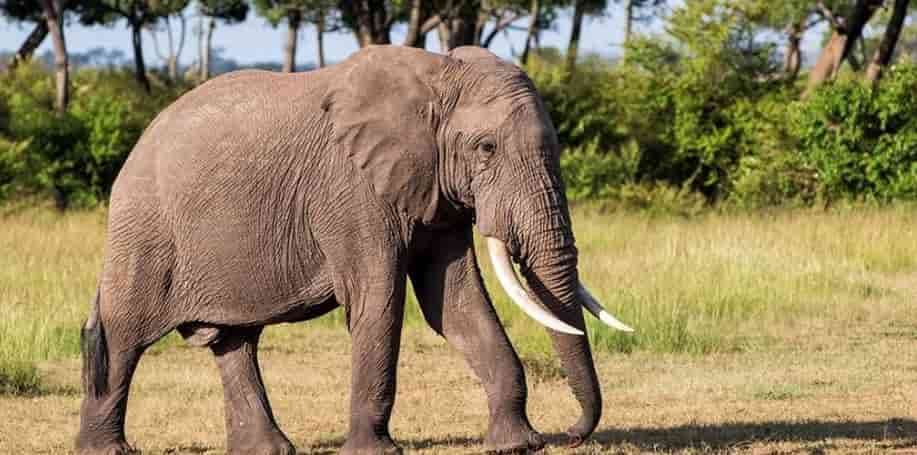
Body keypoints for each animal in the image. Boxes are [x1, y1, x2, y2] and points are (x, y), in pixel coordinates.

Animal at [75, 45, 632, 455]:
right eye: (486, 148)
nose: (570, 435)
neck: (436, 74)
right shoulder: (351, 189)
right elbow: (379, 300)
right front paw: (376, 452)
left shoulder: (433, 189)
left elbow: (455, 303)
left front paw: (516, 445)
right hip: (143, 229)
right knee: (122, 336)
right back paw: (107, 450)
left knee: (235, 341)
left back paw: (268, 450)